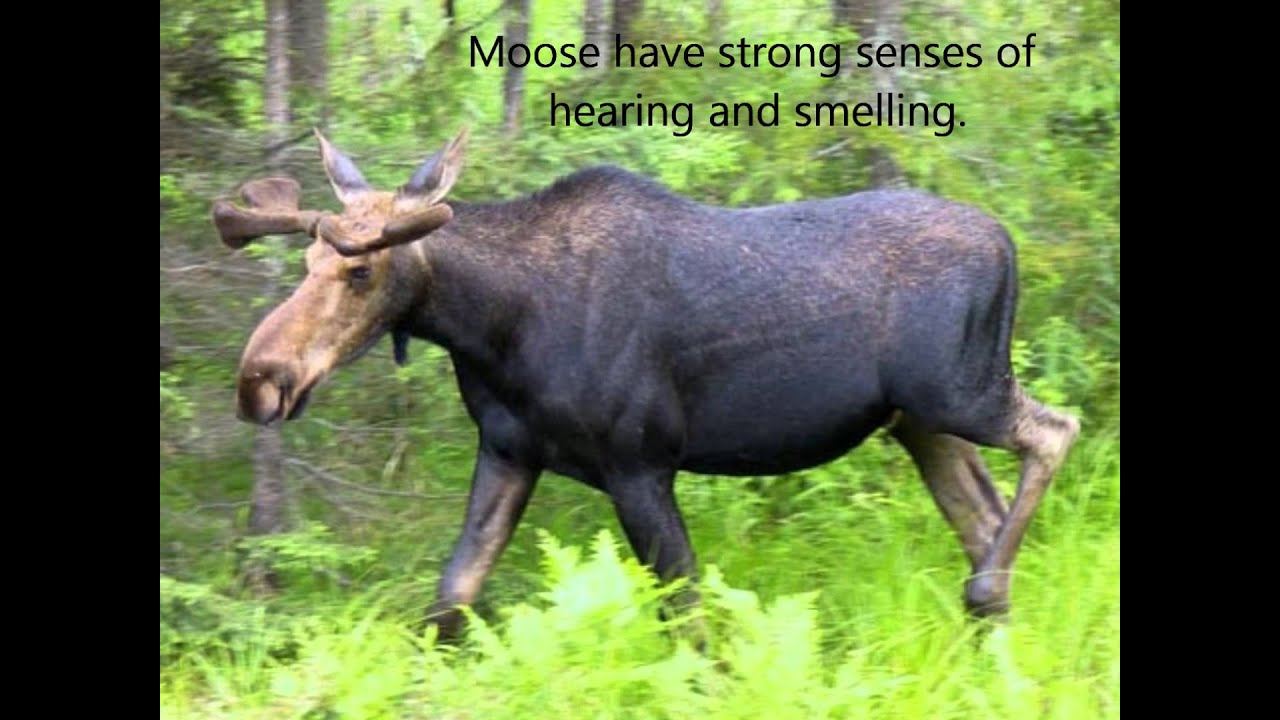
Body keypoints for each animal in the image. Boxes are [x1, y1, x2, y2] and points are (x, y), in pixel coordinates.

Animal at [212, 127, 1080, 641]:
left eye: (359, 271)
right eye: (306, 259)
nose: (260, 380)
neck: (495, 328)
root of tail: (1007, 243)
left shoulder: (640, 466)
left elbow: (687, 614)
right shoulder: (509, 452)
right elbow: (452, 596)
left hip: (960, 390)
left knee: (1055, 431)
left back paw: (986, 594)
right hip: (918, 421)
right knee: (981, 508)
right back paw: (993, 625)